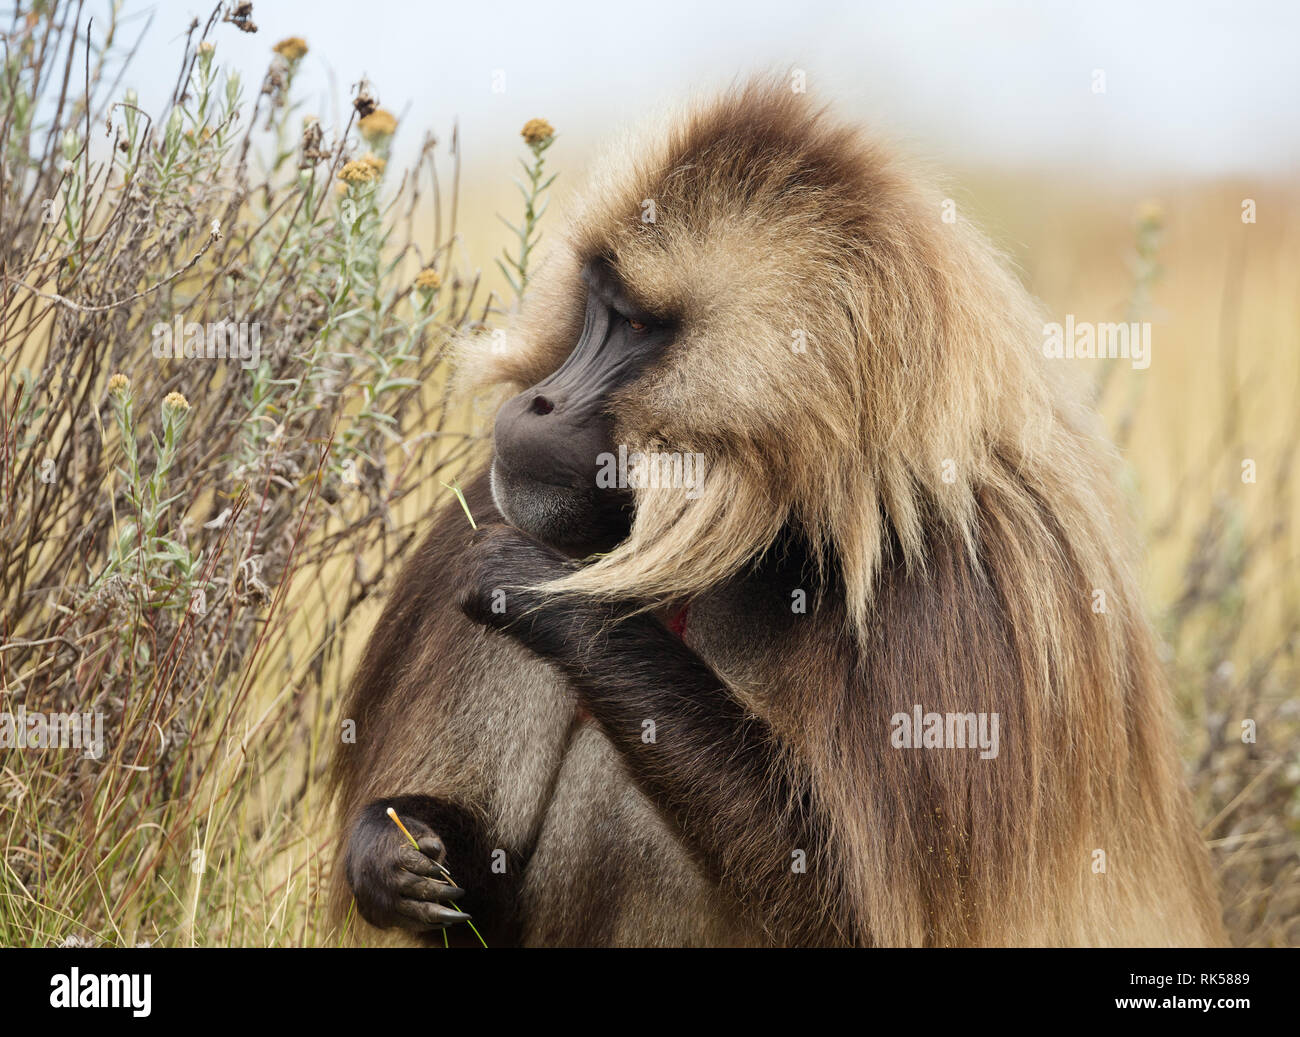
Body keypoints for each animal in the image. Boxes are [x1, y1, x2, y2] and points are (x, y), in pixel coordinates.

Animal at [329, 79, 1225, 947]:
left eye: (639, 325)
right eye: (594, 303)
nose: (537, 403)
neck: (781, 518)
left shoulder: (970, 595)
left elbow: (855, 908)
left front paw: (551, 595)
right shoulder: (497, 495)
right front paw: (395, 848)